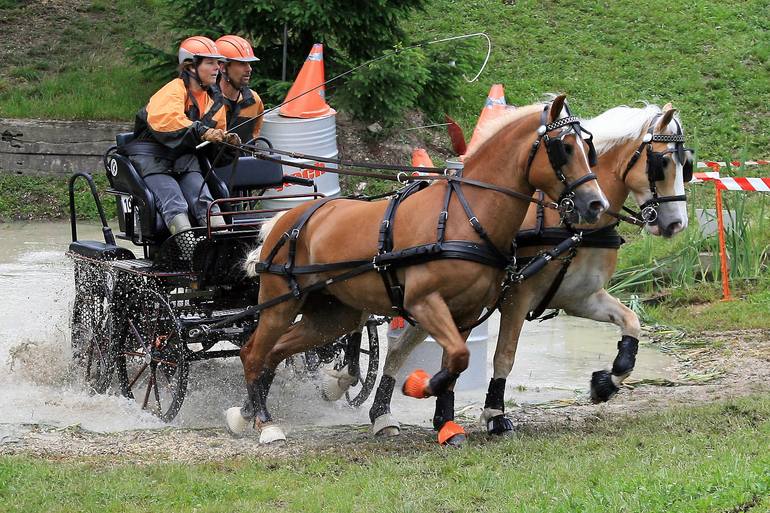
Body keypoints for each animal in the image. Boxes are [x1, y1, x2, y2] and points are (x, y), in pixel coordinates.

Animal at [225, 95, 609, 444]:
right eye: (564, 148)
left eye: (587, 148)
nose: (596, 203)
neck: (465, 216)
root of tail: (284, 218)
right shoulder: (424, 302)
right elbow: (457, 359)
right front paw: (419, 388)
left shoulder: (466, 313)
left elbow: (455, 363)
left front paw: (446, 424)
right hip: (280, 303)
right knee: (253, 353)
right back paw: (264, 423)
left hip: (332, 317)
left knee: (274, 351)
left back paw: (245, 414)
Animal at [358, 103, 691, 444]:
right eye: (662, 163)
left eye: (687, 165)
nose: (677, 223)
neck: (571, 225)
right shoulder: (517, 297)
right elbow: (504, 355)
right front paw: (495, 414)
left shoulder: (581, 298)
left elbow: (632, 323)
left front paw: (605, 383)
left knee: (400, 349)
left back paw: (390, 413)